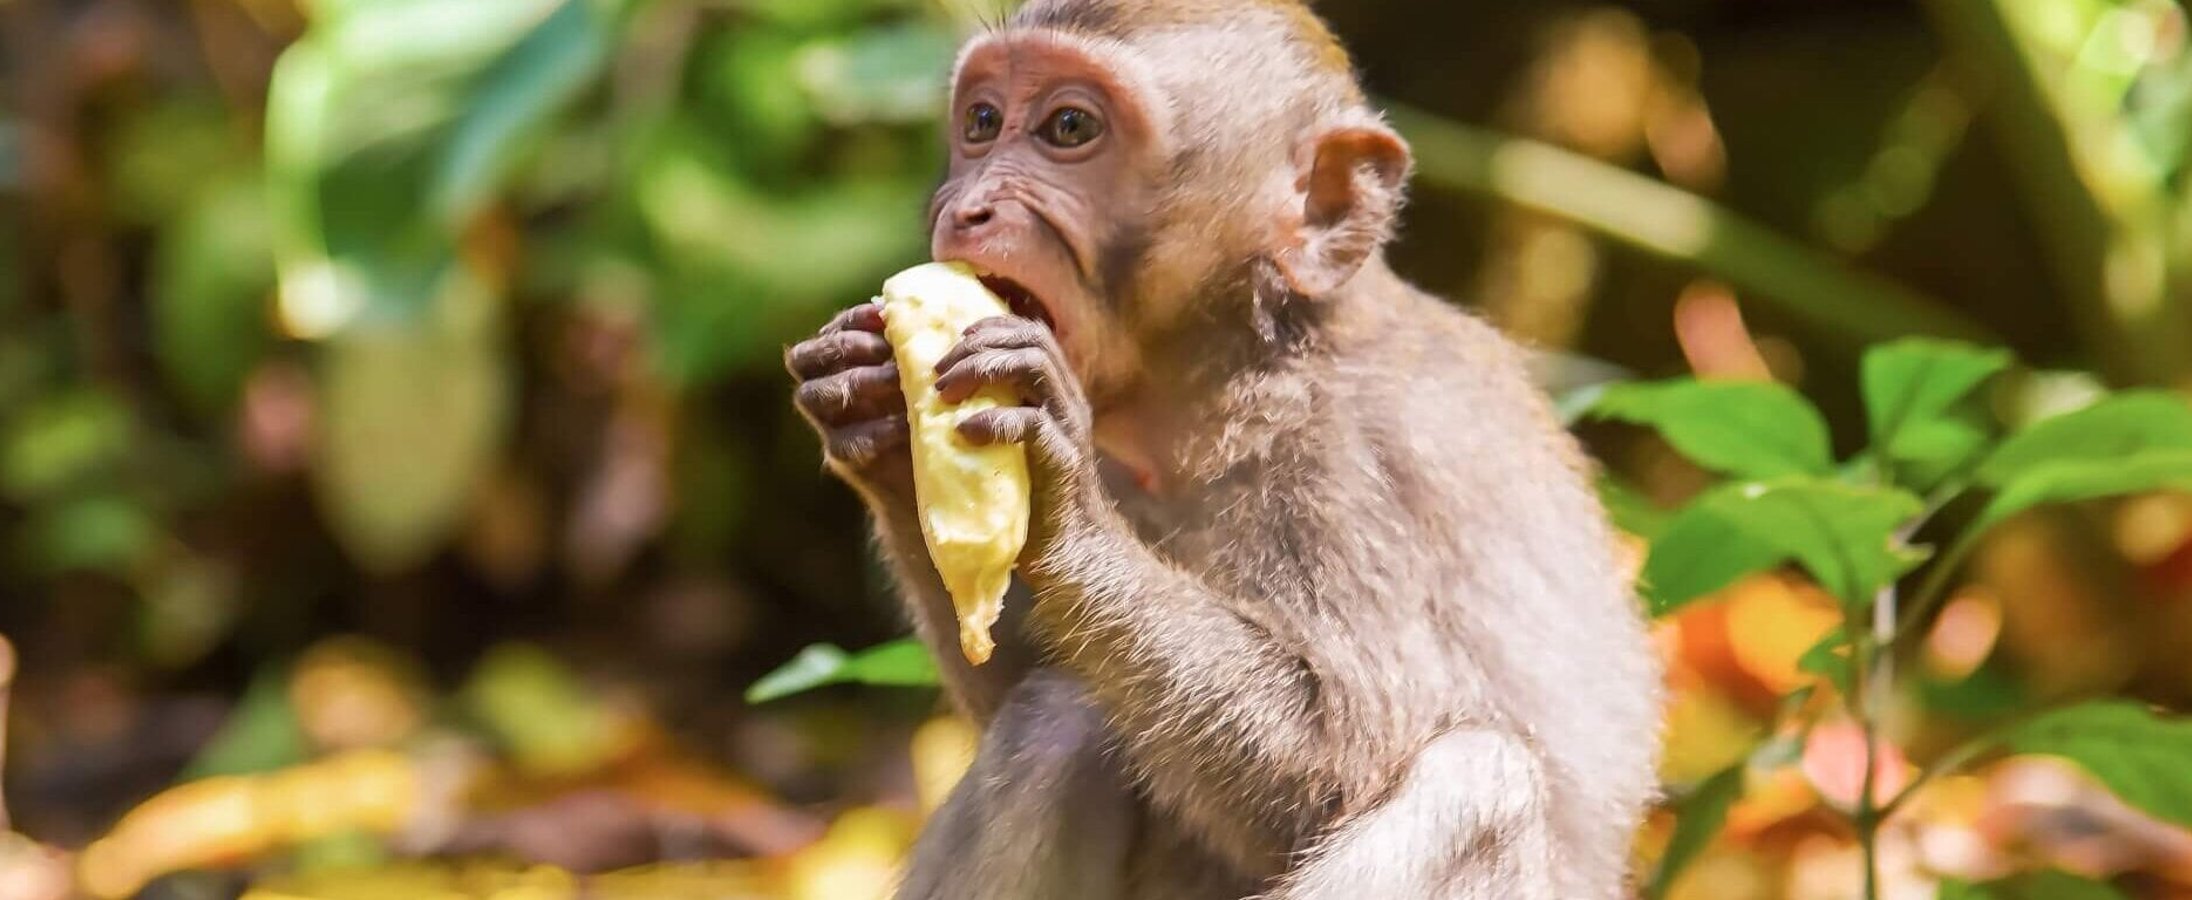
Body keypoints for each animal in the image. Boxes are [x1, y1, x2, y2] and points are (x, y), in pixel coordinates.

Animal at [785, 1, 1664, 897]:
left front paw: (1066, 508)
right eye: (983, 123)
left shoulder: (1354, 473)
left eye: (1069, 128)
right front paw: (875, 425)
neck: (1232, 382)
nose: (968, 207)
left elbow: (1348, 757)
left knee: (1480, 784)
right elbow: (1003, 668)